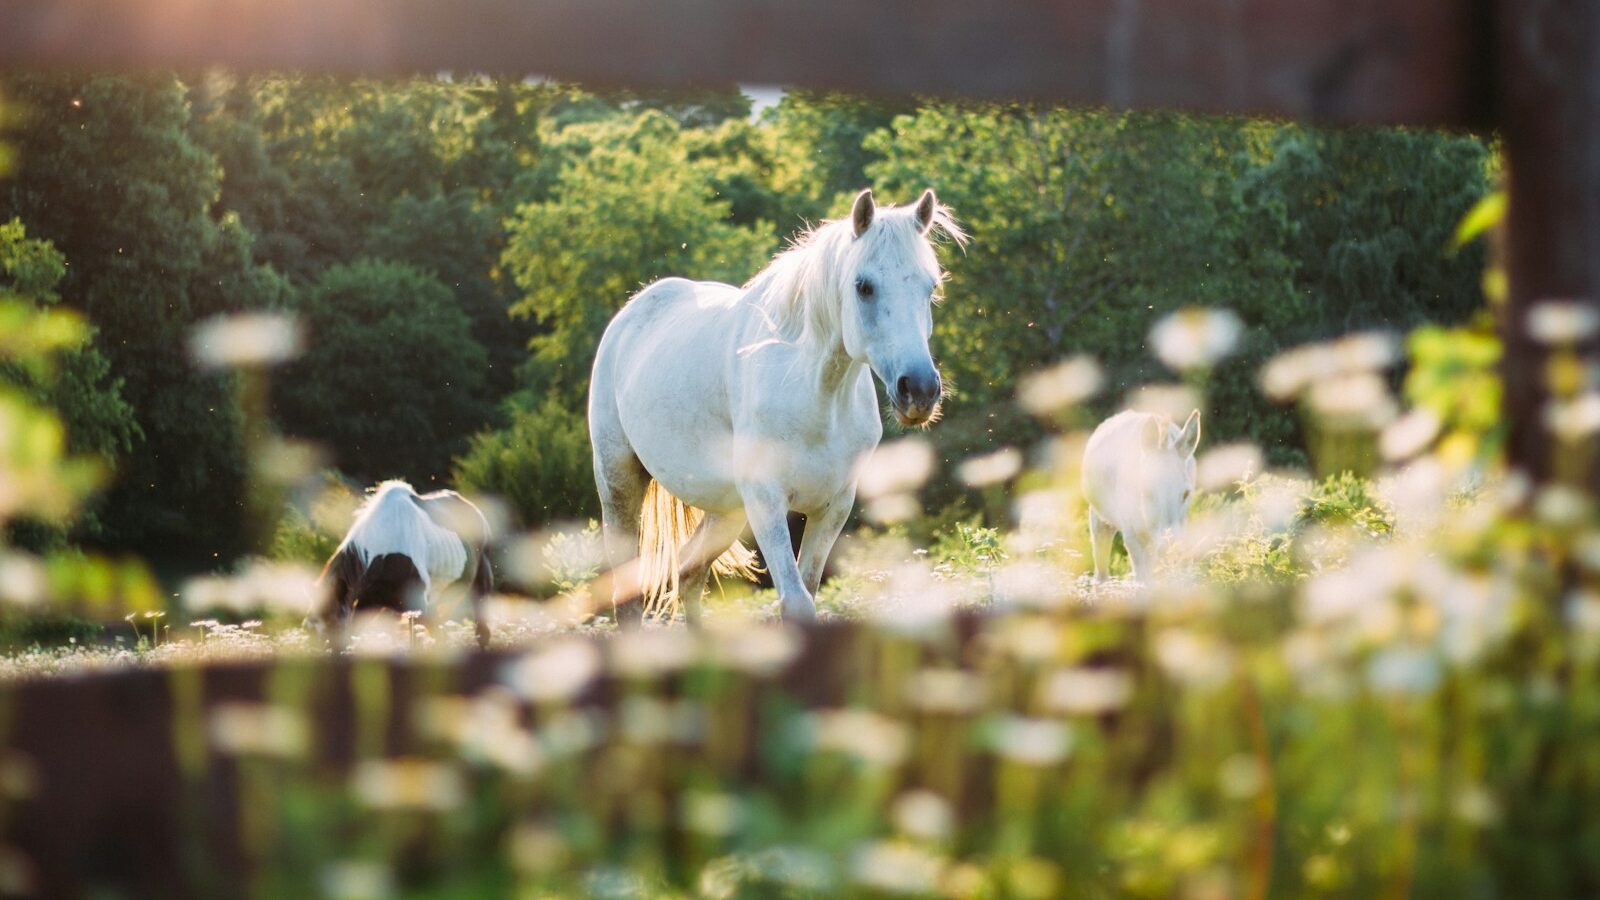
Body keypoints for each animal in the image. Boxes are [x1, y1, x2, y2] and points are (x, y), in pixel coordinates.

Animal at [589, 188, 965, 625]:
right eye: (863, 286)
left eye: (930, 287)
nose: (919, 389)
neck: (815, 399)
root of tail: (631, 313)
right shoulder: (767, 501)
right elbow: (796, 601)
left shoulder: (833, 507)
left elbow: (809, 589)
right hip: (619, 481)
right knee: (628, 594)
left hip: (727, 510)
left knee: (689, 573)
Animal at [1081, 409, 1202, 582]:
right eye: (1147, 491)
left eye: (1186, 494)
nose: (1170, 548)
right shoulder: (1132, 538)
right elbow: (1144, 583)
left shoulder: (1181, 531)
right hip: (1100, 521)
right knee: (1101, 573)